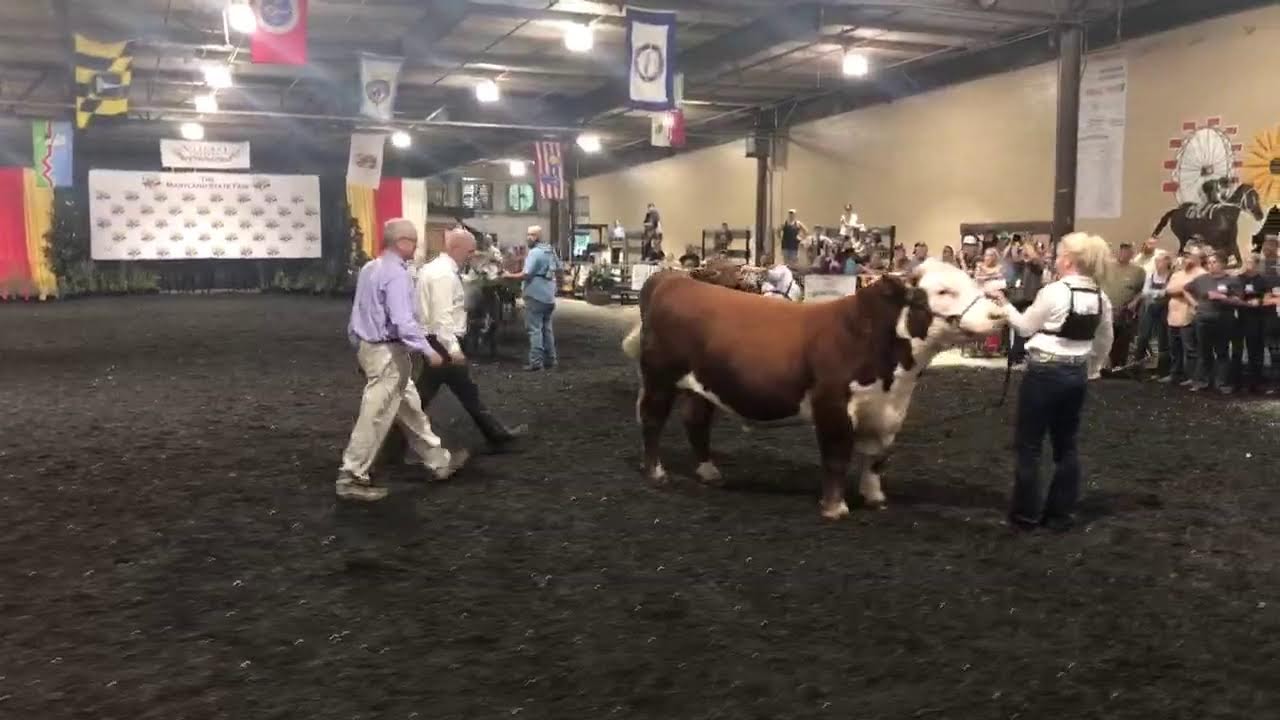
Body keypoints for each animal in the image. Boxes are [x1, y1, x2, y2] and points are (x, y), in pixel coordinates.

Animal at [620, 259, 1008, 520]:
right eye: (943, 291)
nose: (997, 316)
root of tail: (671, 279)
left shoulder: (887, 411)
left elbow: (876, 459)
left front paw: (875, 498)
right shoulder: (832, 405)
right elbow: (836, 457)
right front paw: (835, 507)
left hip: (700, 385)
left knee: (695, 421)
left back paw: (708, 472)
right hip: (659, 377)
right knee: (652, 420)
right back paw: (656, 473)